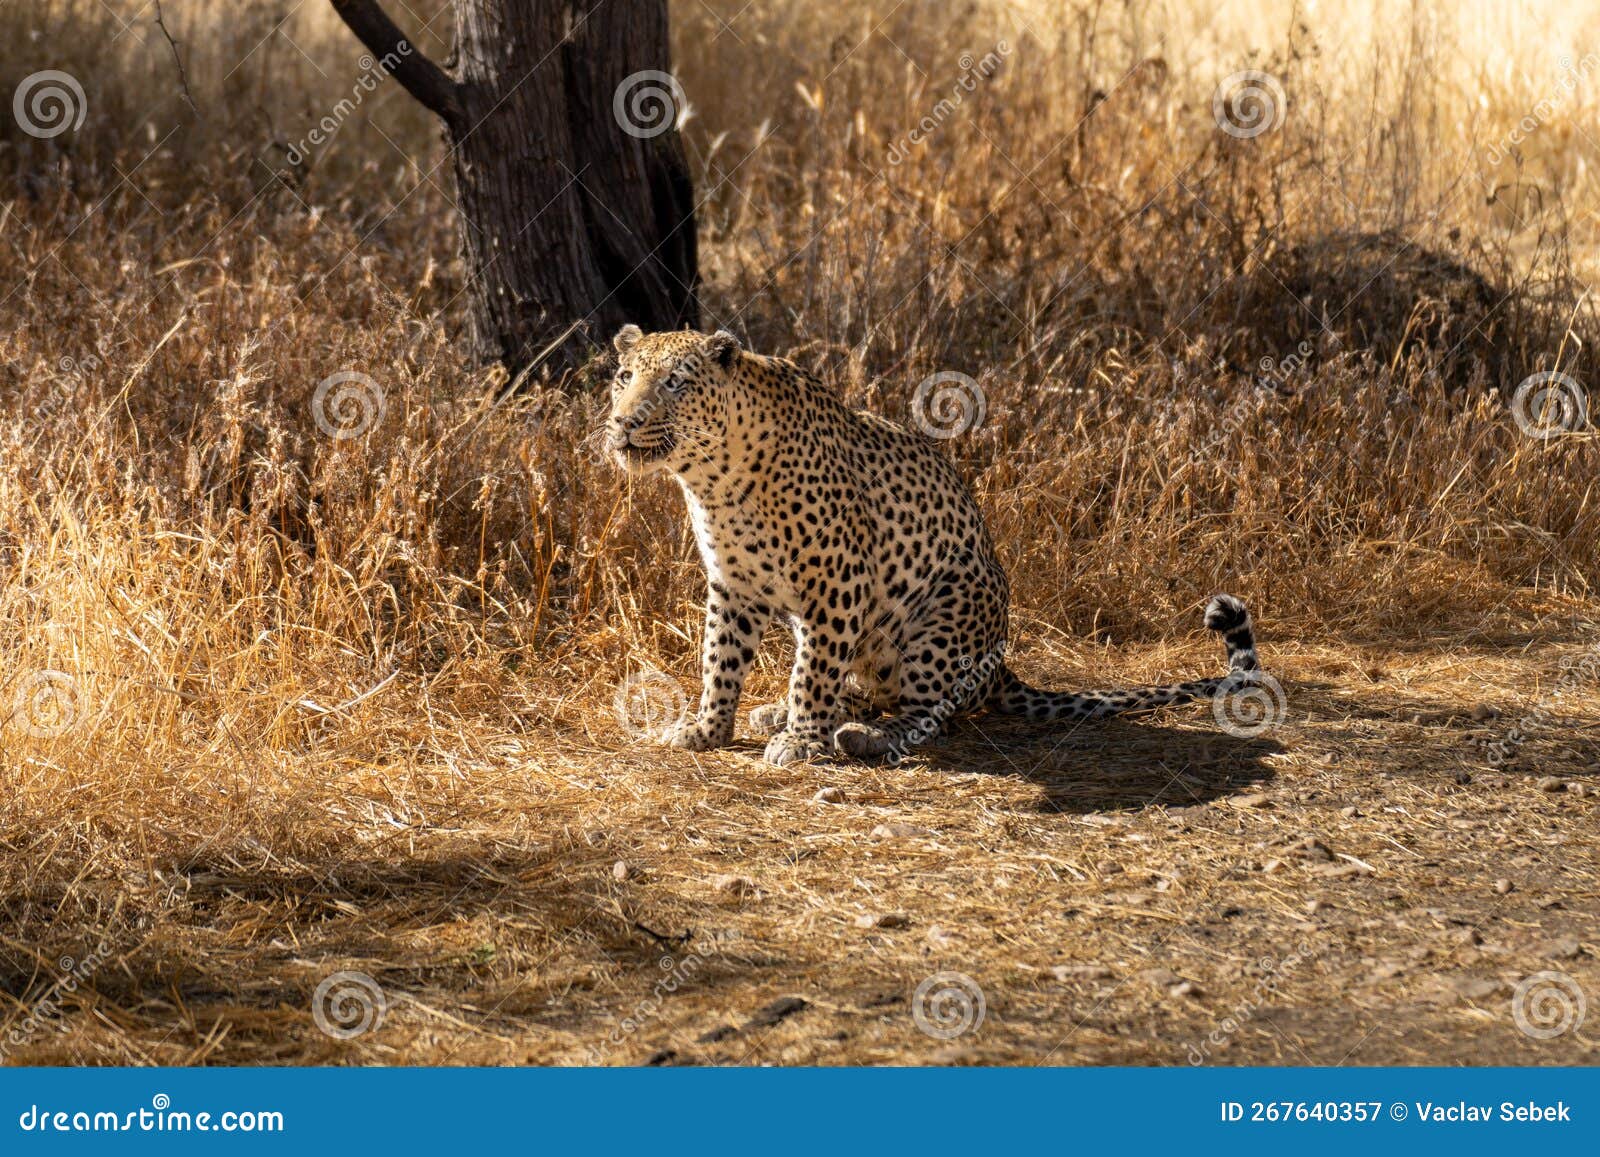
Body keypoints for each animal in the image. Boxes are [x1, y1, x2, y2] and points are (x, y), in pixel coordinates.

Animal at [604, 324, 1265, 767]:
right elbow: (719, 660)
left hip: (947, 610)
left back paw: (861, 735)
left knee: (929, 713)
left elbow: (812, 673)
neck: (713, 480)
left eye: (675, 383)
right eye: (624, 378)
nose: (623, 422)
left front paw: (802, 739)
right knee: (870, 688)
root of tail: (1001, 664)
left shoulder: (837, 583)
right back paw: (789, 712)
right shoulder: (733, 585)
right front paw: (707, 730)